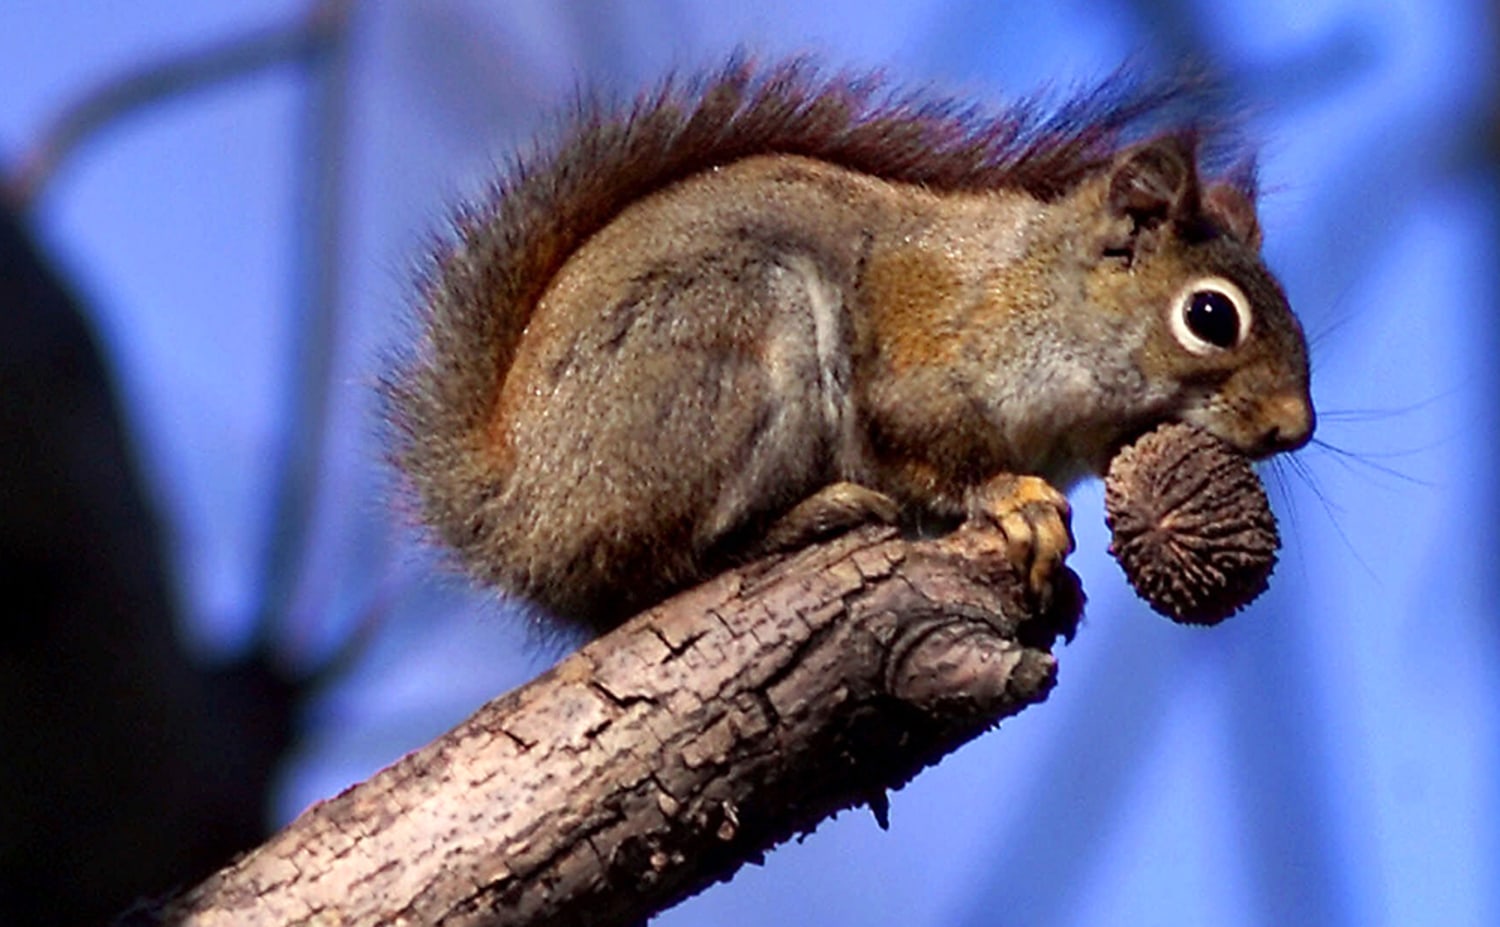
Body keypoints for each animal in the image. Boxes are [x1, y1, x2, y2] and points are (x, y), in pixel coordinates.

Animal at [384, 59, 1314, 636]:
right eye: (1210, 316)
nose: (1295, 427)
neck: (1040, 296)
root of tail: (519, 508)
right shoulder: (925, 363)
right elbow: (929, 448)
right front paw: (1010, 498)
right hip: (734, 347)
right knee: (664, 566)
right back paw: (816, 513)